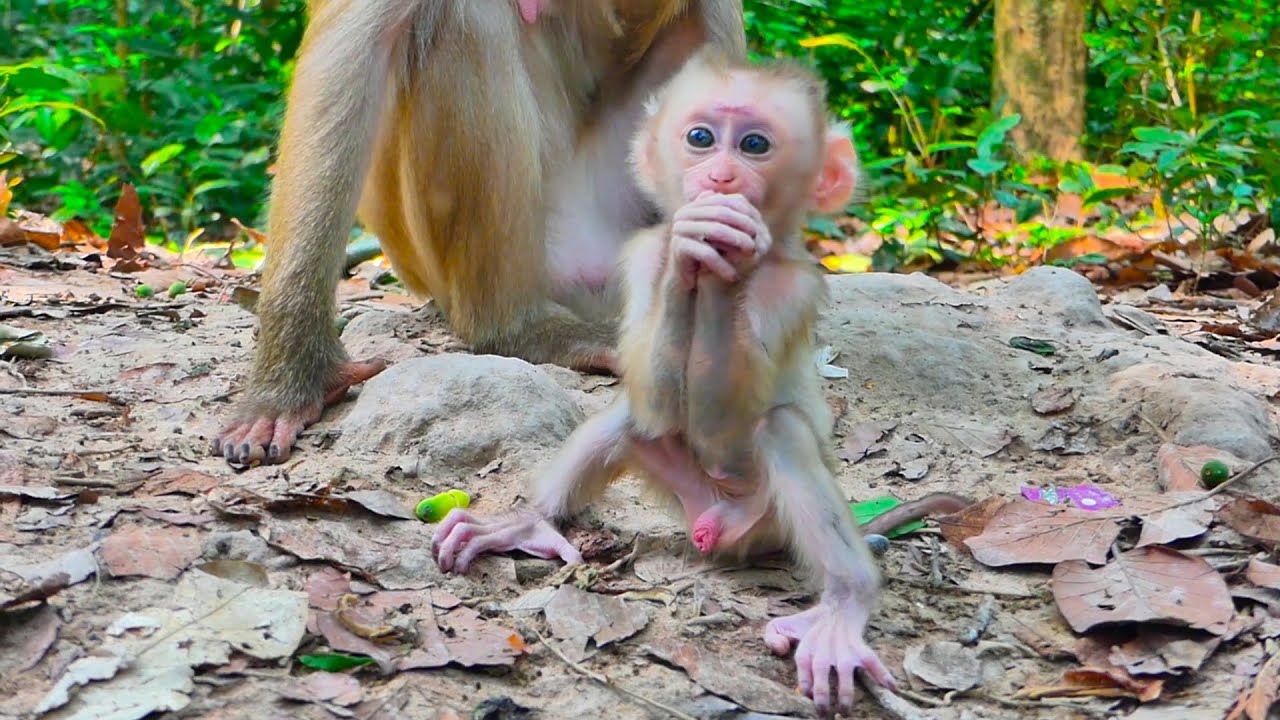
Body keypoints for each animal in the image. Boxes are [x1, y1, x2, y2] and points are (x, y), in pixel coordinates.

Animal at [431, 52, 901, 715]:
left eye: (755, 145)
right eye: (700, 138)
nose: (721, 177)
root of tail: (717, 524)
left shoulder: (795, 286)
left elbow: (728, 420)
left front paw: (724, 267)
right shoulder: (640, 256)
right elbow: (651, 399)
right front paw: (690, 256)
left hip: (765, 521)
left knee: (780, 431)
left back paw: (843, 607)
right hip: (685, 493)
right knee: (630, 416)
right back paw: (527, 522)